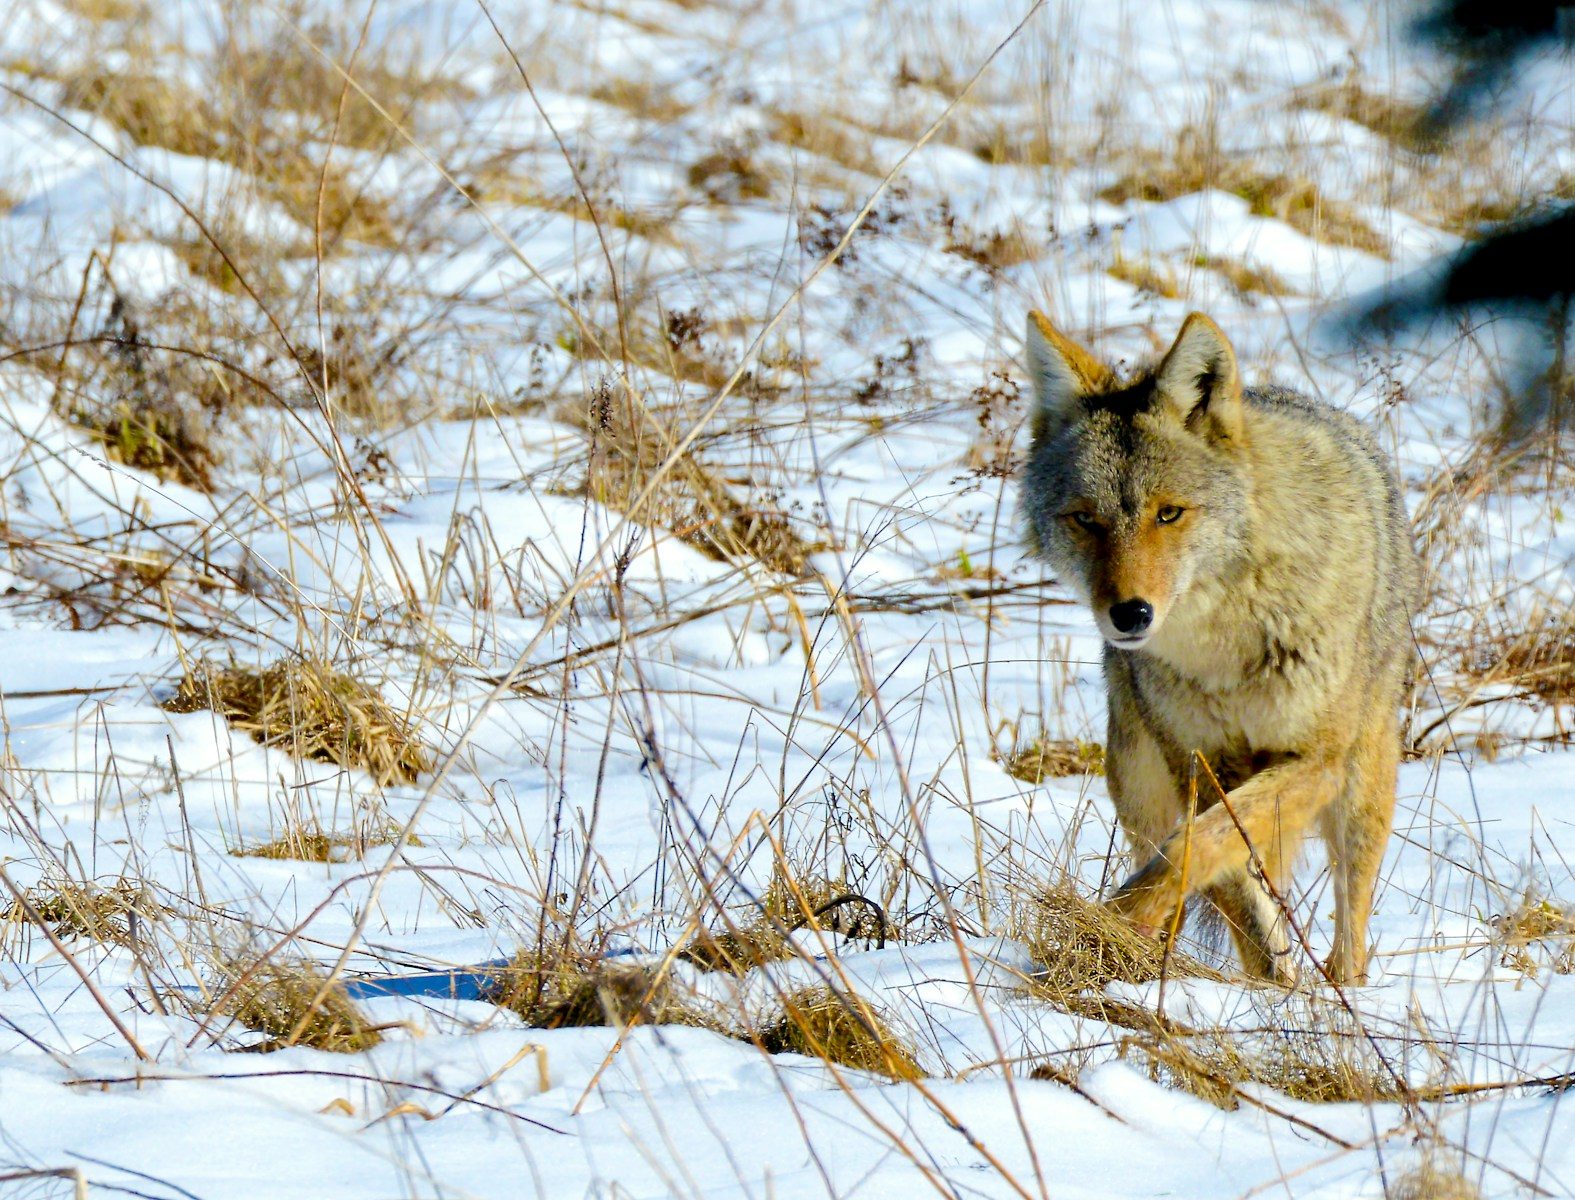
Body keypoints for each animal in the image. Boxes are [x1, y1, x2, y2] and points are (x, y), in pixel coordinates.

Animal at [1019, 309, 1420, 984]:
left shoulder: (1315, 760)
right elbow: (1228, 882)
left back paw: (1345, 988)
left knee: (1352, 917)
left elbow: (1195, 848)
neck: (1225, 648)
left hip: (1361, 783)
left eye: (1169, 514)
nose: (1130, 614)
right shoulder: (1198, 767)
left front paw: (1118, 915)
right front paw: (1269, 987)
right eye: (1086, 519)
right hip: (1134, 776)